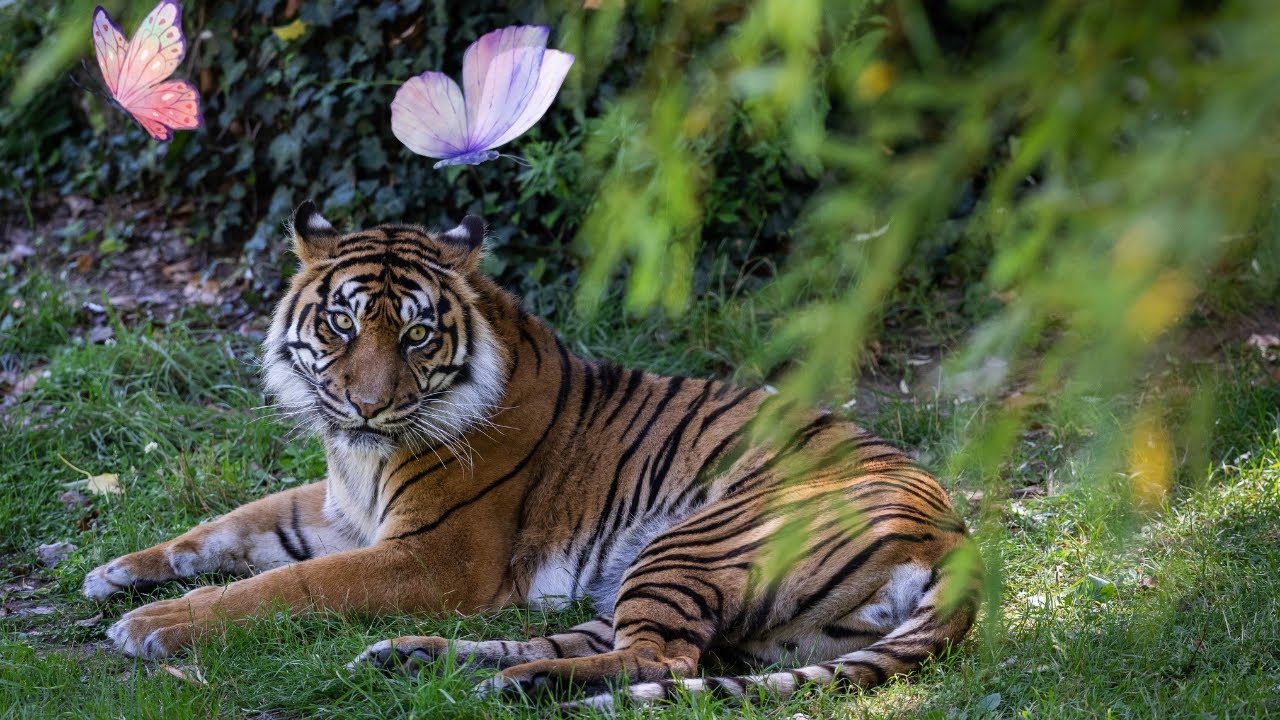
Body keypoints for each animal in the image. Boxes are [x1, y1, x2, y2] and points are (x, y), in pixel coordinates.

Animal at [83, 201, 981, 708]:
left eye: (416, 335)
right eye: (341, 324)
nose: (366, 404)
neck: (363, 456)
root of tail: (957, 536)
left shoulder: (432, 555)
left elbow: (286, 584)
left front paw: (154, 625)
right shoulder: (342, 511)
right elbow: (230, 525)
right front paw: (116, 572)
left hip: (702, 538)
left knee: (661, 656)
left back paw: (516, 685)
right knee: (598, 642)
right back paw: (423, 661)